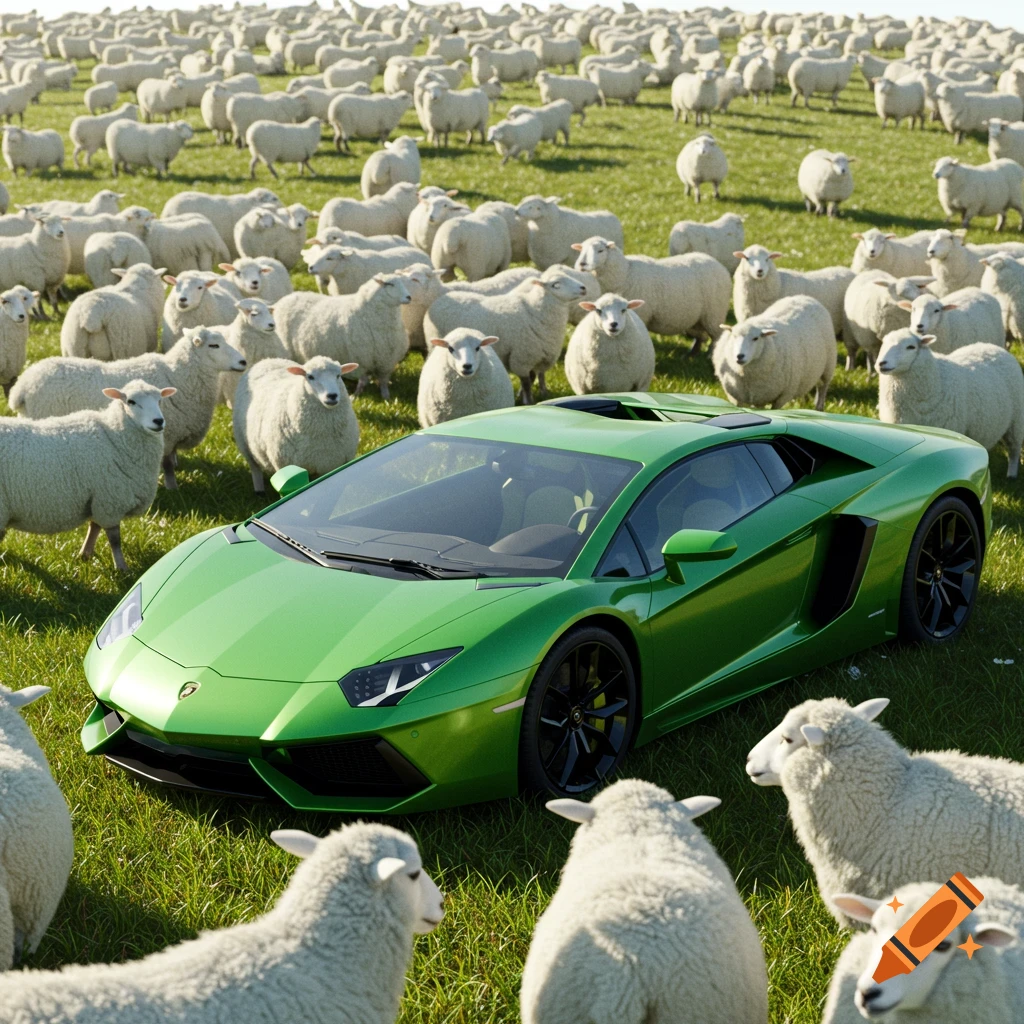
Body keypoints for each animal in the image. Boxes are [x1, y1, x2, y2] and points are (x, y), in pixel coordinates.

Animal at [0, 380, 173, 569]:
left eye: (159, 400)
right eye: (131, 402)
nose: (159, 421)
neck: (115, 436)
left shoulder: (98, 499)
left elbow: (94, 527)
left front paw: (85, 554)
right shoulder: (110, 501)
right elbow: (115, 539)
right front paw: (121, 567)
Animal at [12, 328, 246, 490]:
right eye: (214, 345)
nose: (243, 361)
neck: (179, 374)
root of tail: (22, 385)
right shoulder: (167, 433)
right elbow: (167, 464)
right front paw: (173, 488)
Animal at [275, 274, 412, 399]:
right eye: (389, 284)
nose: (409, 297)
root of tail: (288, 297)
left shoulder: (386, 359)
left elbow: (383, 381)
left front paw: (386, 397)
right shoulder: (361, 358)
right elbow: (363, 380)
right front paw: (357, 395)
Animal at [423, 270, 588, 404]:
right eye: (556, 285)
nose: (583, 288)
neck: (536, 310)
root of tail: (439, 300)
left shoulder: (539, 354)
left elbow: (536, 377)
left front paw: (534, 395)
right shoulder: (522, 356)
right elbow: (527, 382)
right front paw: (528, 401)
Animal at [573, 237, 732, 345]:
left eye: (600, 251)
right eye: (581, 250)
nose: (582, 264)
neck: (626, 272)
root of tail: (715, 262)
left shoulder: (640, 313)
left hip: (714, 314)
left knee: (717, 338)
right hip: (697, 318)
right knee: (700, 338)